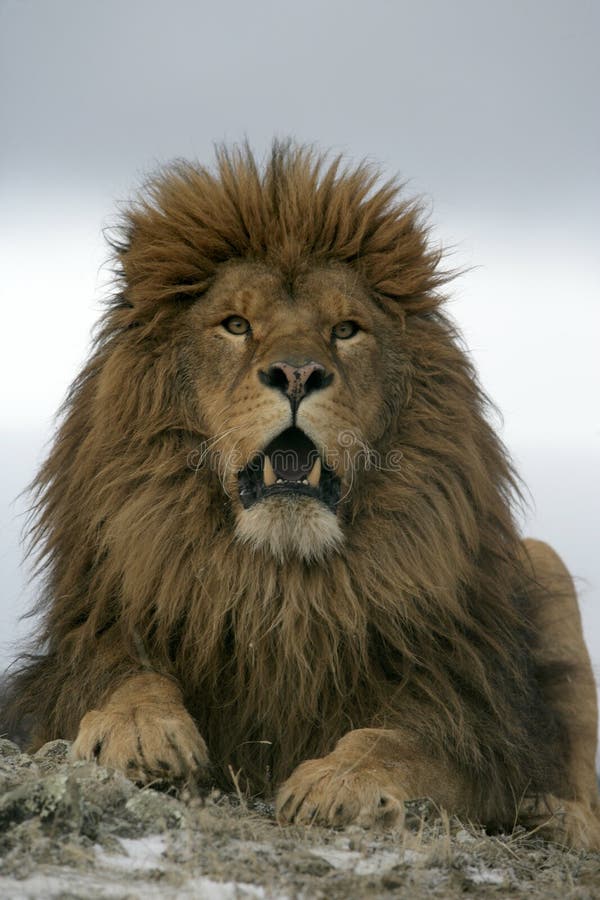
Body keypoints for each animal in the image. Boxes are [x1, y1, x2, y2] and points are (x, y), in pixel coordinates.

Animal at [3, 142, 599, 848]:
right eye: (236, 324)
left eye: (345, 330)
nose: (296, 372)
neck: (281, 587)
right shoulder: (83, 651)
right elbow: (123, 676)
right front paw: (142, 732)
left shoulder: (476, 719)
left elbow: (403, 742)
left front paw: (340, 782)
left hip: (545, 562)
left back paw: (553, 817)